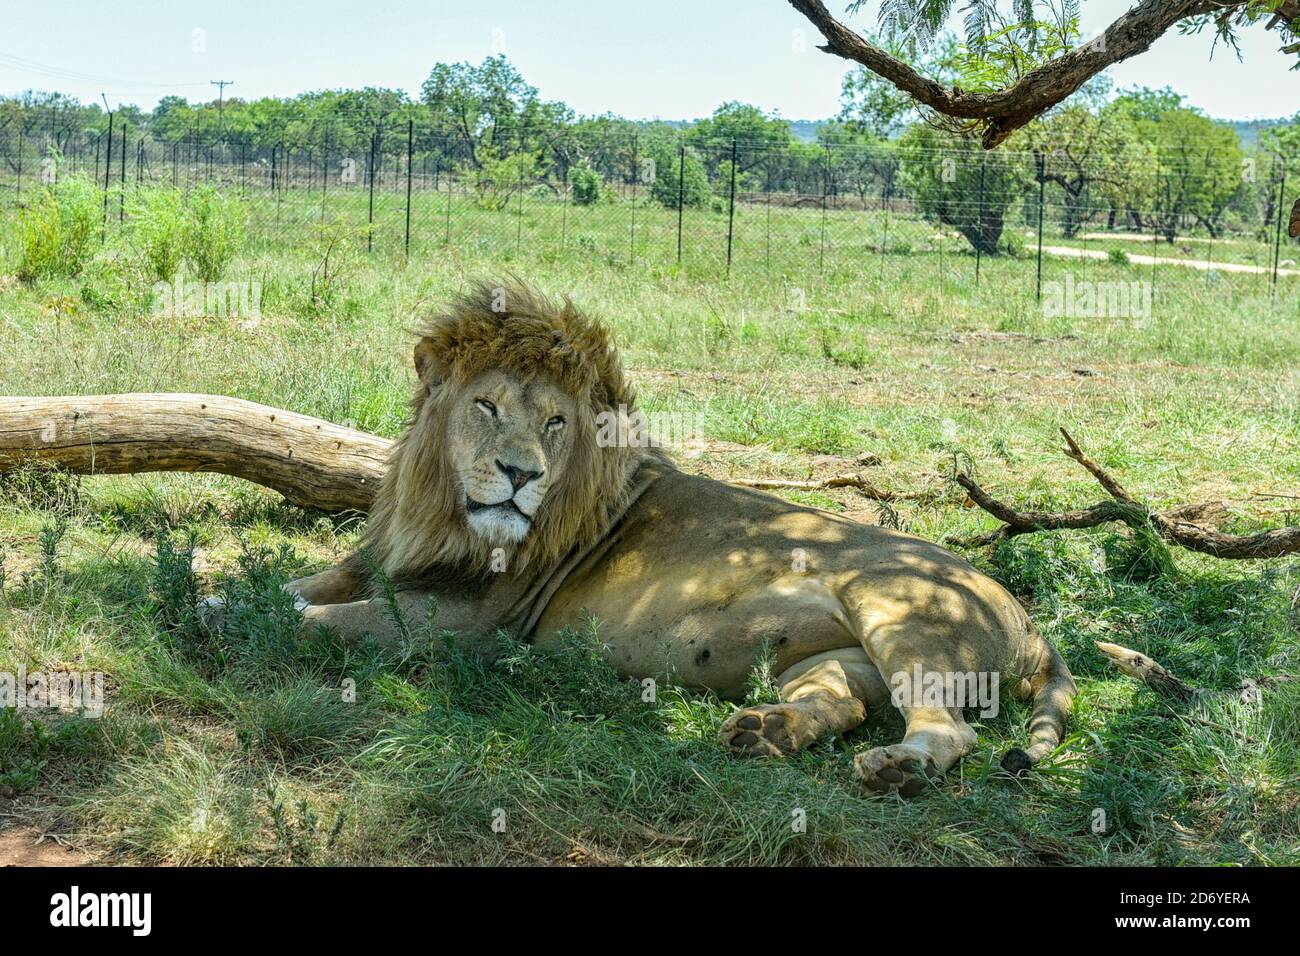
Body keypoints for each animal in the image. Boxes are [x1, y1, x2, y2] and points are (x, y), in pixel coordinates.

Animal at [278, 279, 1076, 793]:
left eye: (555, 422)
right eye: (487, 406)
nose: (520, 473)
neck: (439, 512)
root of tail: (1032, 623)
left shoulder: (469, 623)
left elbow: (320, 622)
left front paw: (263, 612)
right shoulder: (388, 562)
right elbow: (309, 585)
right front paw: (269, 588)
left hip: (898, 608)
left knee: (951, 730)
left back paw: (898, 768)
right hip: (834, 658)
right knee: (843, 700)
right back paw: (767, 732)